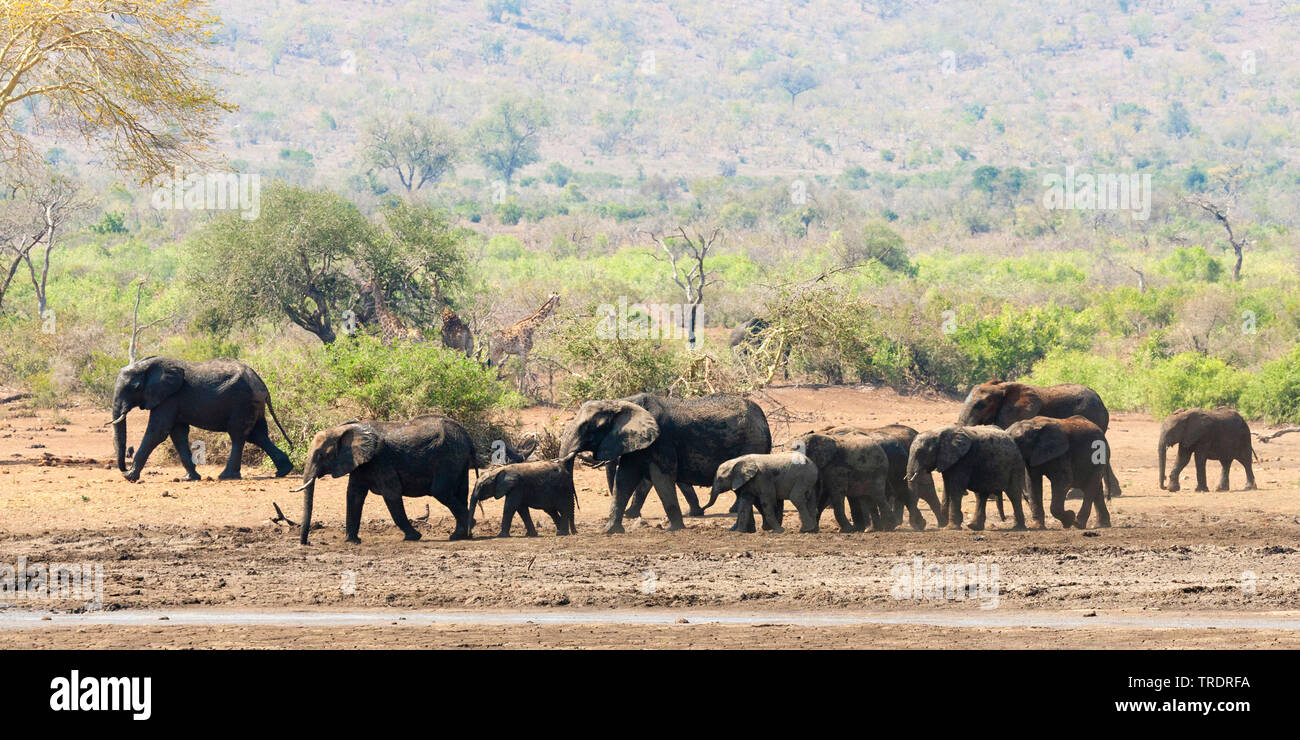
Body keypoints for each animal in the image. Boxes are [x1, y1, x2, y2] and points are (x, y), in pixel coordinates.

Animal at [108, 356, 293, 482]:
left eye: (135, 387)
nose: (124, 468)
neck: (148, 365)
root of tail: (263, 385)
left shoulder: (169, 397)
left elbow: (158, 431)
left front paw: (129, 477)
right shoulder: (172, 400)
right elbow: (178, 434)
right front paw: (190, 478)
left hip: (243, 402)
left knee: (238, 435)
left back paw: (226, 476)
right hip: (254, 405)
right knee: (258, 435)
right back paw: (283, 471)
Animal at [293, 415, 476, 544]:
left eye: (320, 455)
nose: (306, 543)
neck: (344, 429)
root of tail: (468, 436)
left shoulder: (381, 460)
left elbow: (391, 494)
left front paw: (413, 537)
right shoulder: (360, 462)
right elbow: (354, 495)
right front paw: (352, 541)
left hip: (449, 456)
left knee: (440, 491)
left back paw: (464, 529)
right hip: (458, 458)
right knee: (460, 492)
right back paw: (461, 534)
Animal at [558, 393, 772, 534]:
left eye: (588, 427)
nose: (574, 532)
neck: (624, 402)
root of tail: (763, 417)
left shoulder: (661, 440)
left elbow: (661, 478)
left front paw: (675, 528)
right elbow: (625, 480)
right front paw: (611, 530)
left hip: (752, 443)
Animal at [957, 379, 1122, 499]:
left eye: (980, 405)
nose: (964, 493)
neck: (1002, 387)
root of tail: (1100, 399)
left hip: (1092, 415)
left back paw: (1075, 494)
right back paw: (1112, 493)